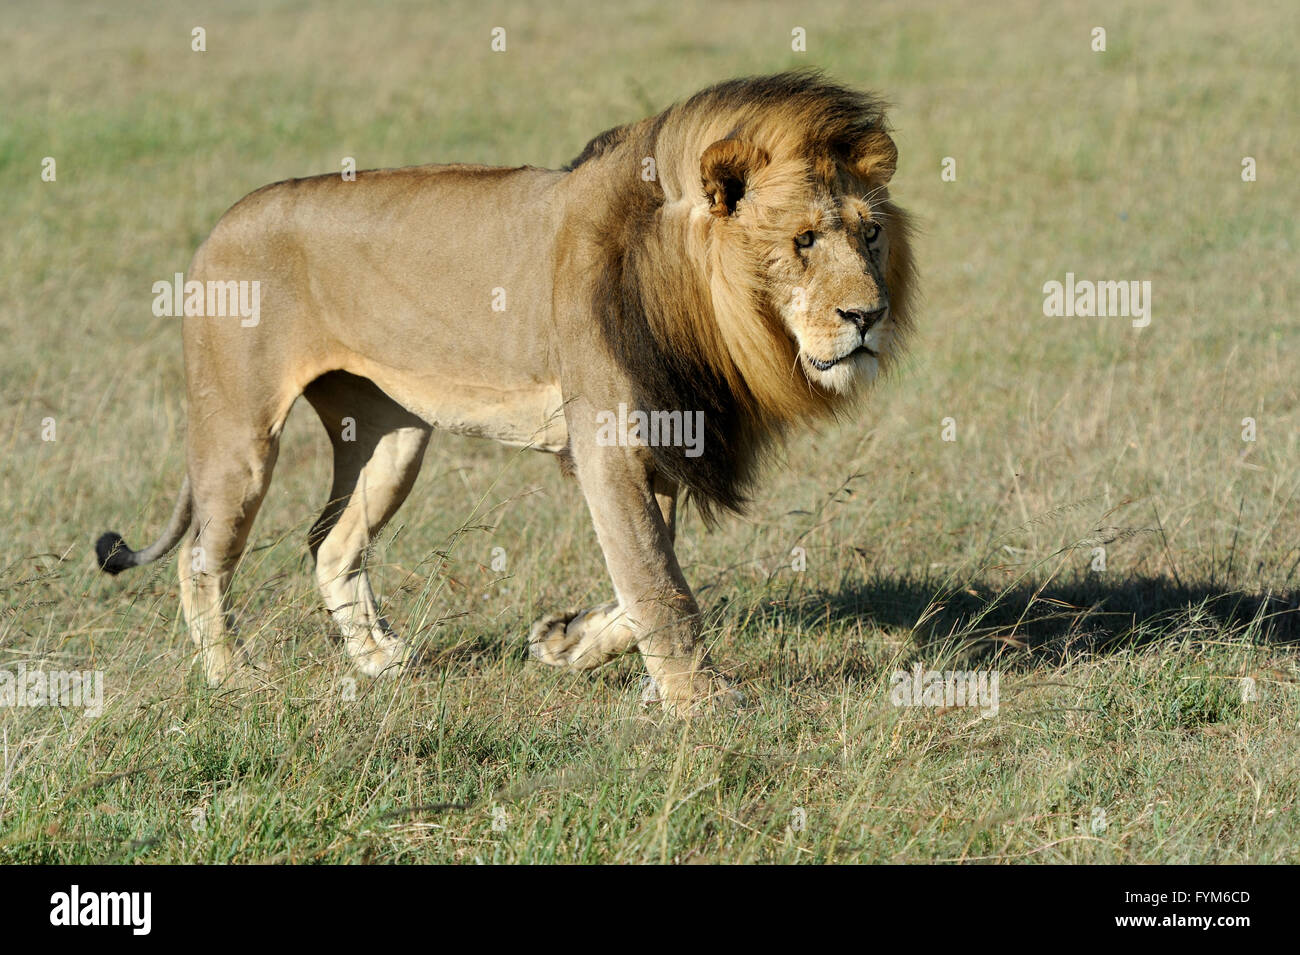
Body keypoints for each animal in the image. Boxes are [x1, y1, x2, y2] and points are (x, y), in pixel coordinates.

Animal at [95, 71, 916, 713]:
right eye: (803, 240)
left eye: (870, 234)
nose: (867, 316)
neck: (696, 303)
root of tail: (218, 227)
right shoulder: (609, 443)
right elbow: (660, 583)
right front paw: (703, 702)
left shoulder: (667, 441)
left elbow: (647, 576)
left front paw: (565, 642)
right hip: (240, 430)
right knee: (199, 558)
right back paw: (234, 678)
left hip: (391, 438)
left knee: (331, 543)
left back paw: (380, 662)